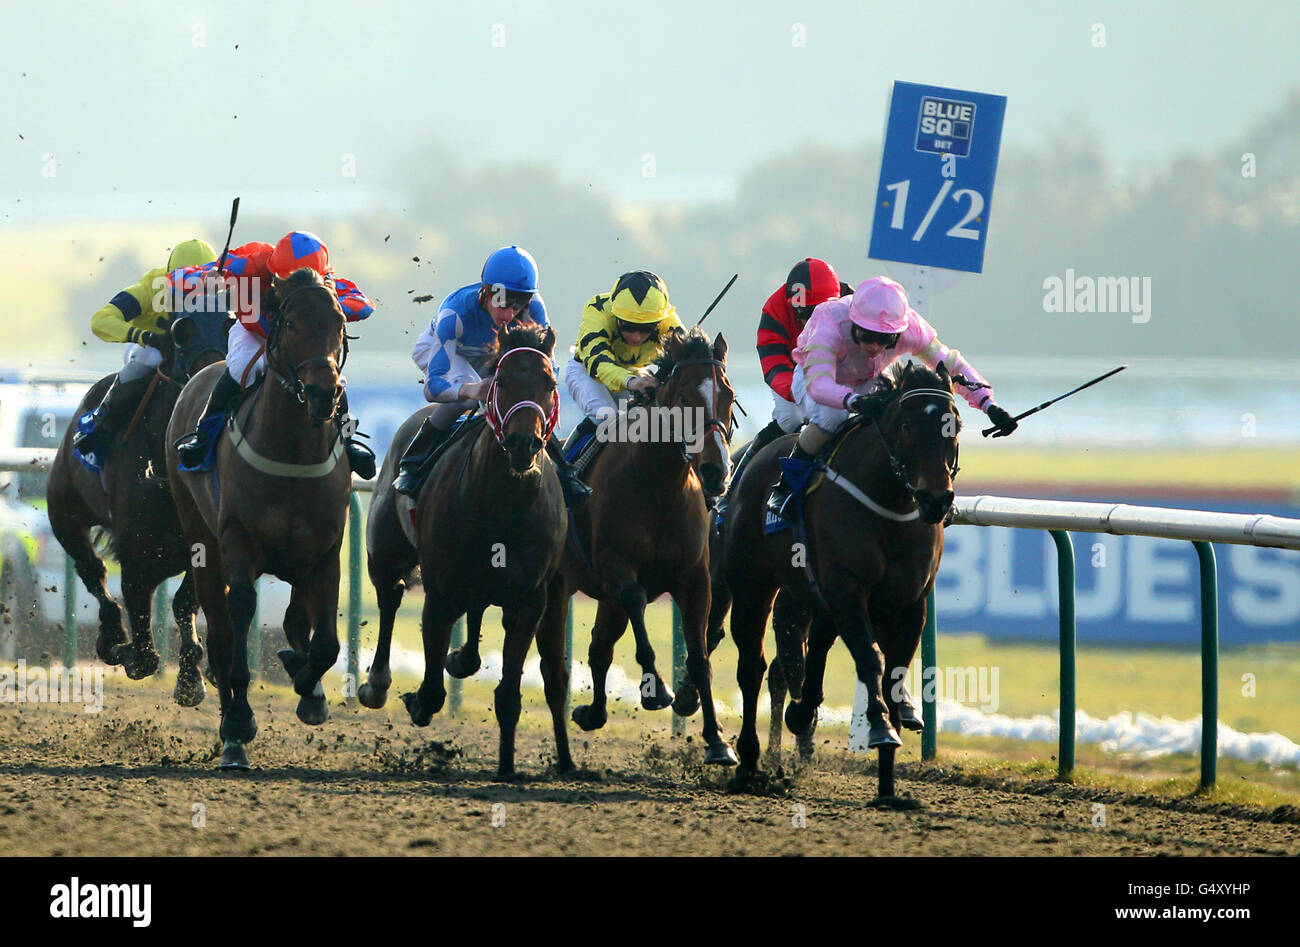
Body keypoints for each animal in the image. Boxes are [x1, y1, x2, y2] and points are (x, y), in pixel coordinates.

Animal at [45, 310, 230, 704]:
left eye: (231, 325)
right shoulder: (135, 560)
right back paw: (112, 637)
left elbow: (184, 603)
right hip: (64, 512)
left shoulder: (207, 549)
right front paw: (125, 649)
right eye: (181, 330)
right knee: (93, 571)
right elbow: (144, 655)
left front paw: (192, 676)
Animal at [165, 268, 353, 769]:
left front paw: (309, 687)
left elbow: (324, 641)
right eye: (291, 324)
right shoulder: (237, 543)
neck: (291, 452)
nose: (324, 393)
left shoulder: (327, 550)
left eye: (339, 324)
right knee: (219, 631)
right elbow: (239, 620)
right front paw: (237, 723)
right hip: (201, 540)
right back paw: (232, 724)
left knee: (294, 620)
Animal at [381, 323, 569, 778]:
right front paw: (416, 700)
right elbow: (432, 692)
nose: (523, 444)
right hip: (385, 549)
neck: (503, 506)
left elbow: (509, 694)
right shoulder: (440, 594)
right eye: (501, 381)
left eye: (550, 383)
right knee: (390, 595)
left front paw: (506, 767)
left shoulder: (529, 601)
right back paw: (373, 683)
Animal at [542, 325, 740, 767]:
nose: (715, 471)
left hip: (604, 600)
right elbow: (635, 599)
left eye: (728, 394)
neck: (659, 487)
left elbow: (699, 655)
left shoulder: (695, 579)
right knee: (565, 662)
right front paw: (657, 689)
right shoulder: (616, 567)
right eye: (683, 397)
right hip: (558, 588)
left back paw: (592, 713)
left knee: (599, 648)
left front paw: (718, 739)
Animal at [718, 360, 962, 802]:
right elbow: (871, 658)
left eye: (955, 425)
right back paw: (746, 762)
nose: (935, 499)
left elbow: (894, 673)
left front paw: (889, 783)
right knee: (752, 666)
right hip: (751, 585)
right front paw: (880, 728)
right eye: (906, 426)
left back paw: (802, 715)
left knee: (808, 653)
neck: (888, 502)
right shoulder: (848, 587)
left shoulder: (909, 602)